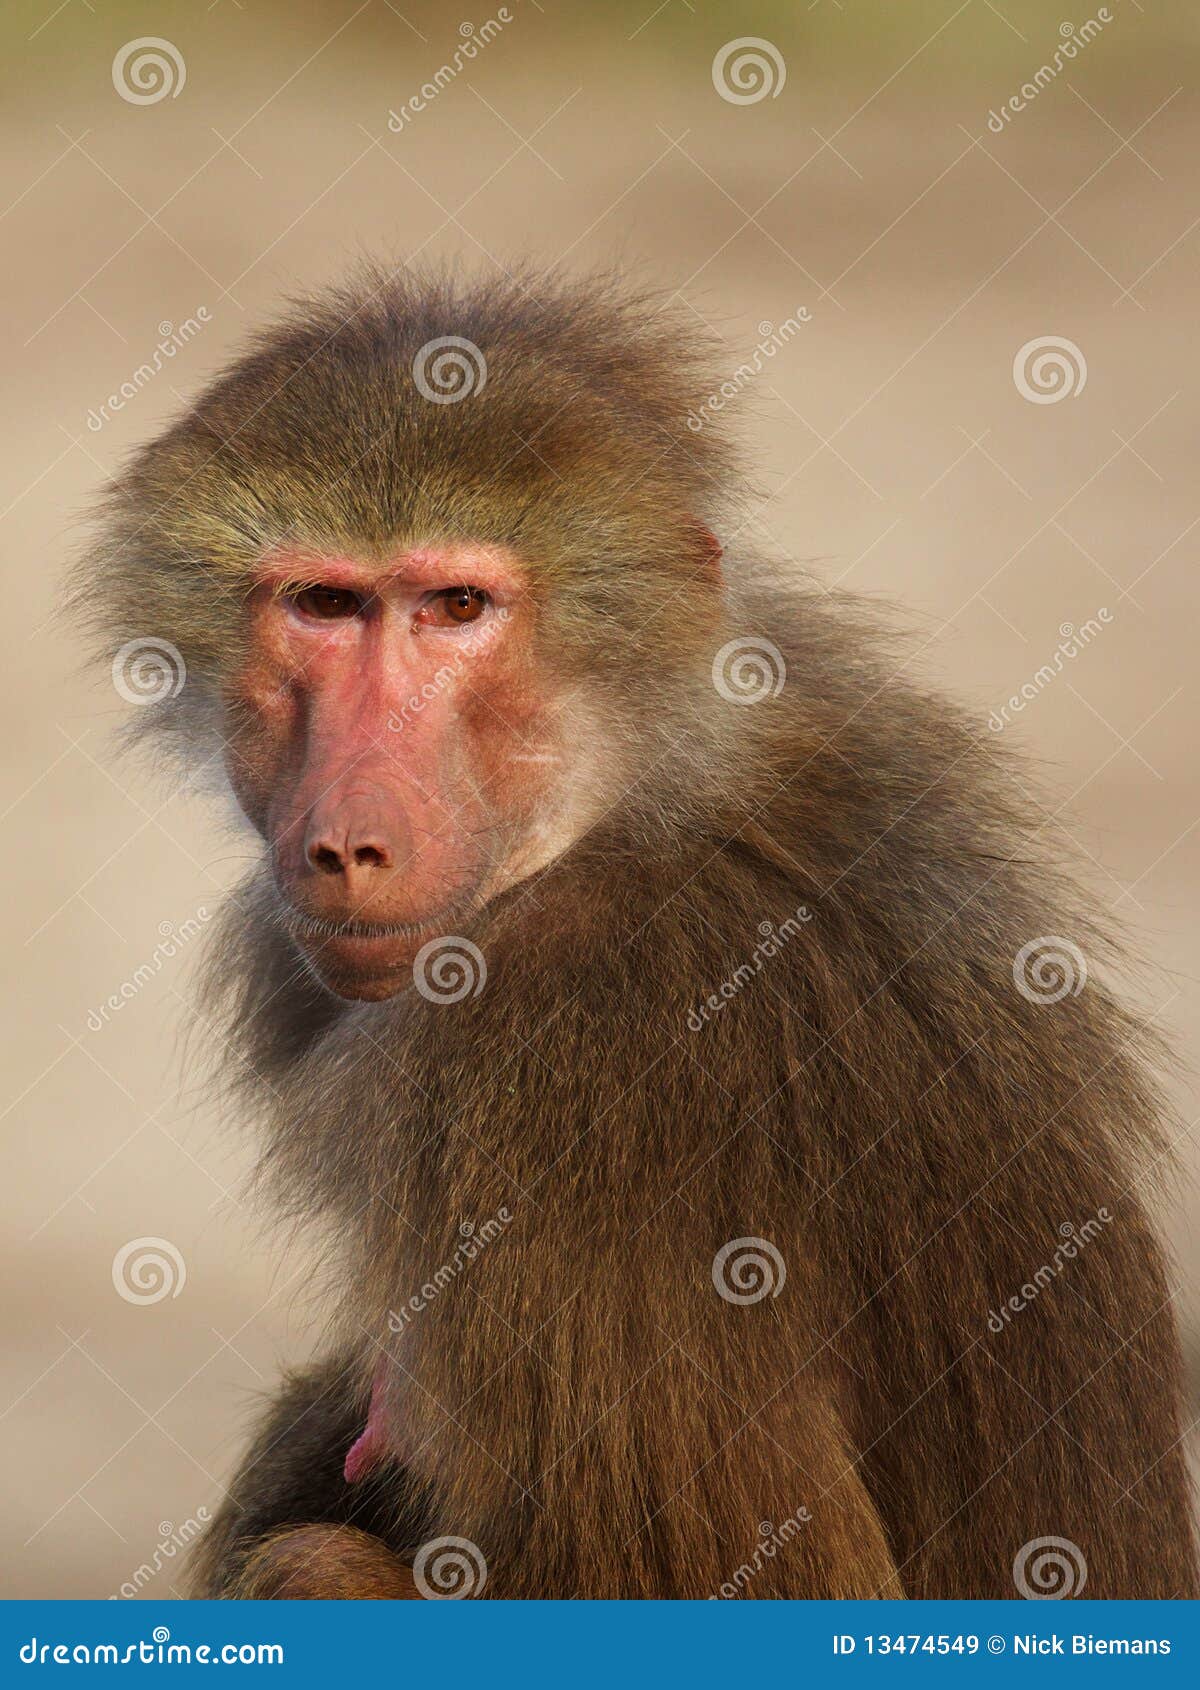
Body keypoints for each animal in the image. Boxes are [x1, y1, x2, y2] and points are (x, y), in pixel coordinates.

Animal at [80, 265, 1197, 1601]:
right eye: (325, 605)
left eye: (458, 607)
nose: (348, 843)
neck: (613, 813)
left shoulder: (564, 1069)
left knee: (305, 1561)